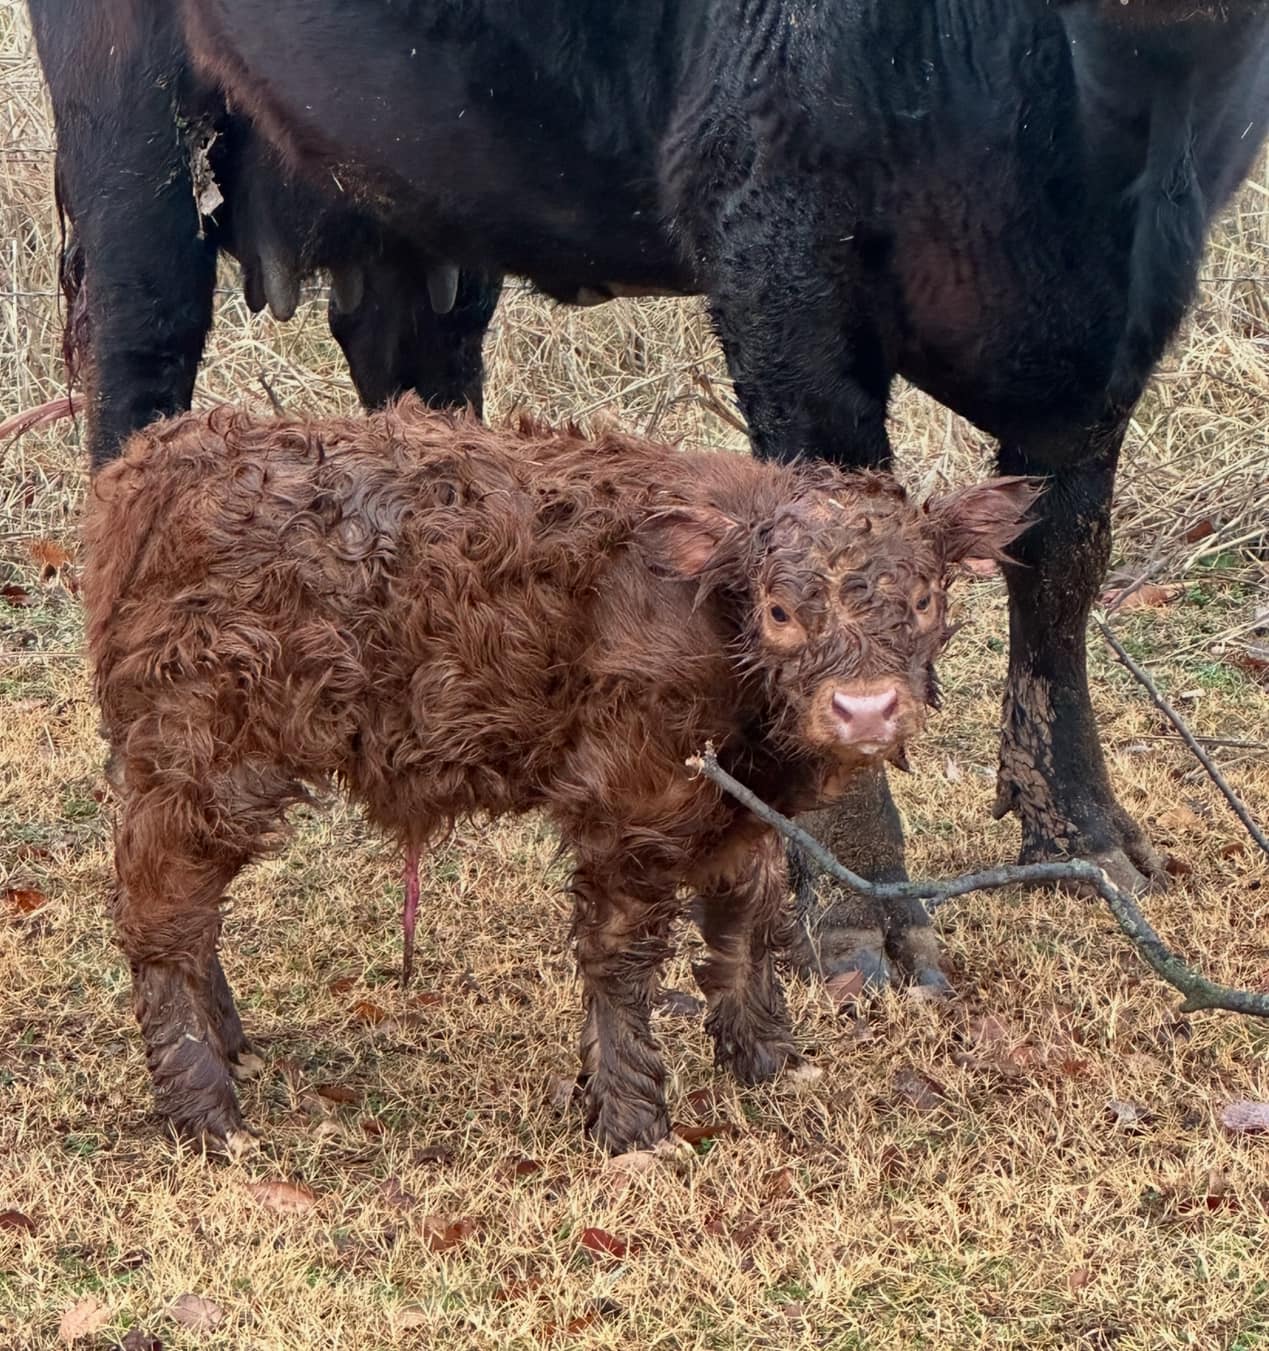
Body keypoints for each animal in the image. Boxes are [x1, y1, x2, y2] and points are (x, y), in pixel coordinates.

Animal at [32, 0, 1269, 991]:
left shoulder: (1125, 311)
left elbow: (1063, 567)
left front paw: (1088, 838)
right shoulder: (777, 248)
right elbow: (840, 546)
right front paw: (863, 919)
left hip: (414, 203)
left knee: (422, 390)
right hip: (129, 135)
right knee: (139, 376)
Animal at [83, 397, 1036, 1153]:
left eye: (923, 599)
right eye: (778, 610)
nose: (865, 707)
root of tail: (156, 460)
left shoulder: (736, 810)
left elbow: (745, 919)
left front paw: (765, 1061)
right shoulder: (629, 796)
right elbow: (620, 956)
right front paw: (630, 1122)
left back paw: (230, 1045)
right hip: (204, 750)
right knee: (163, 915)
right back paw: (204, 1109)